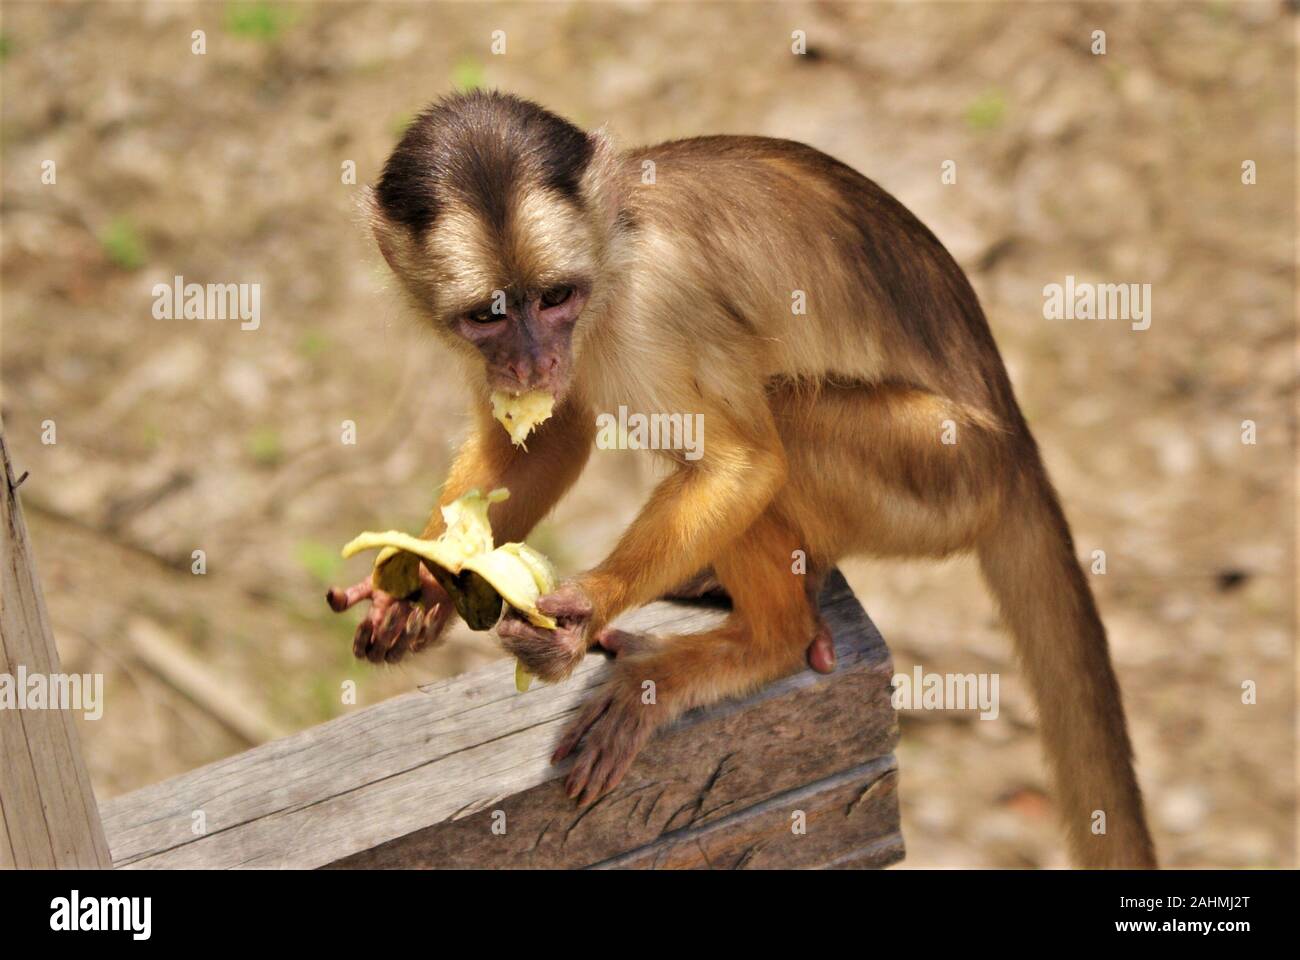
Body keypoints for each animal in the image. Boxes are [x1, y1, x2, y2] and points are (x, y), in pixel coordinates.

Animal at [327, 90, 1156, 869]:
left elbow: (743, 463)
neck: (612, 258)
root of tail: (1018, 447)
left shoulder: (661, 306)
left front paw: (582, 613)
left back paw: (767, 643)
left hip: (950, 476)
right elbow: (548, 436)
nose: (532, 361)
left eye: (556, 297)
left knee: (780, 421)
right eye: (489, 315)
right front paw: (423, 581)